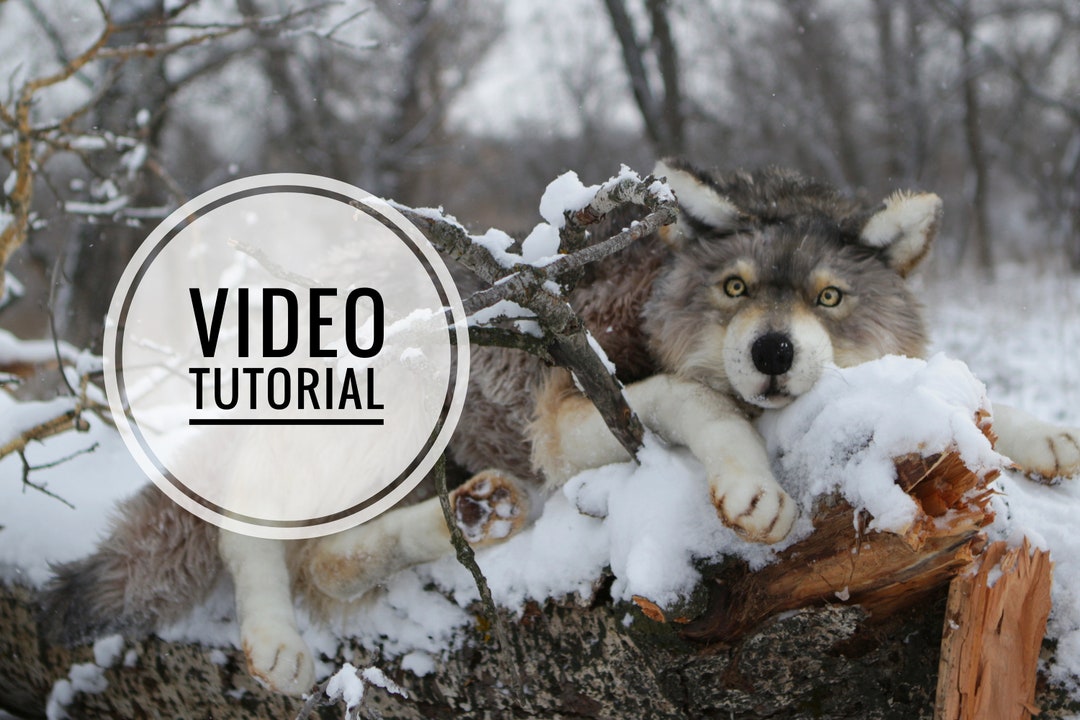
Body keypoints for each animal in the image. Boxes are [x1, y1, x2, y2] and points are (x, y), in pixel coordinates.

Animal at [40, 159, 1080, 696]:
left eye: (827, 298)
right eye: (736, 288)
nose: (775, 352)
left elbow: (968, 389)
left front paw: (1041, 437)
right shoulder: (573, 415)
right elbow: (706, 403)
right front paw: (752, 489)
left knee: (332, 562)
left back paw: (482, 513)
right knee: (258, 534)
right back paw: (277, 645)